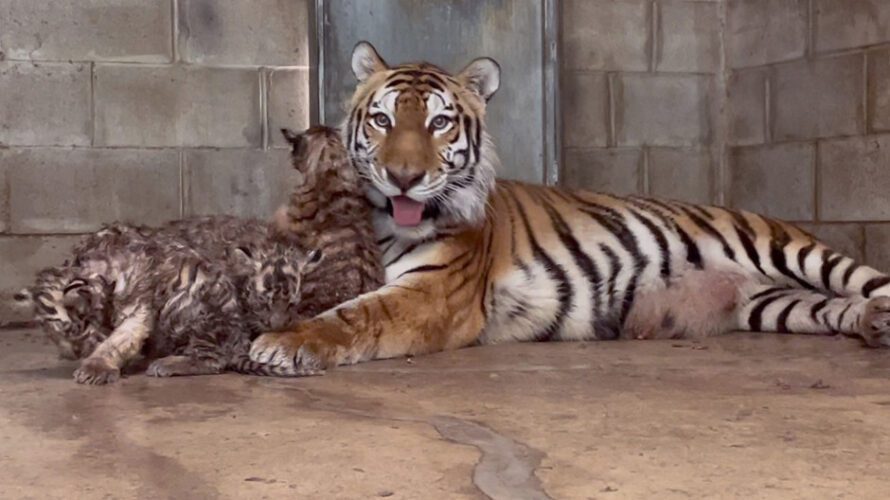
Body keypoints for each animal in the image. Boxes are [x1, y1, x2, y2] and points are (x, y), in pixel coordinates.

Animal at [248, 41, 890, 376]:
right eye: (382, 120)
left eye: (438, 122)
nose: (404, 178)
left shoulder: (431, 293)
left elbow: (355, 316)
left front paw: (282, 344)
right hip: (771, 304)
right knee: (831, 308)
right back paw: (870, 323)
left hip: (786, 248)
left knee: (864, 279)